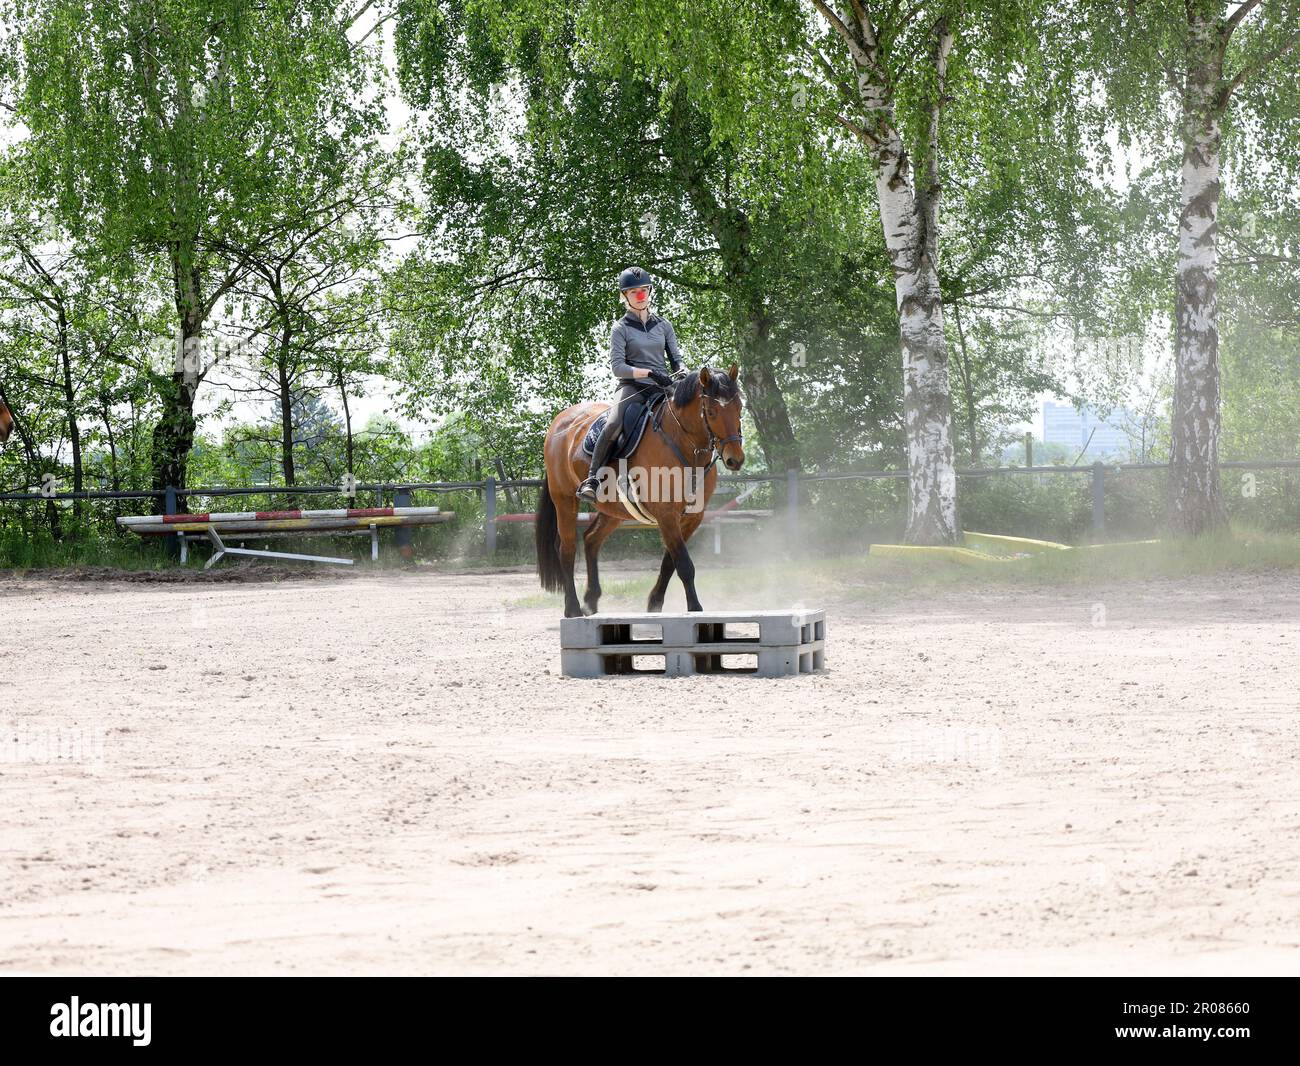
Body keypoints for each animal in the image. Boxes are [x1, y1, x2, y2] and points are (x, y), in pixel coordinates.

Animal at [536, 363, 745, 617]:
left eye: (739, 407)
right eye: (712, 412)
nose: (735, 459)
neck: (682, 443)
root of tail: (560, 422)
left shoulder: (692, 517)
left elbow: (670, 563)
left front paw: (654, 604)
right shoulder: (666, 514)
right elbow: (684, 564)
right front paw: (695, 608)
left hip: (615, 510)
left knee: (591, 539)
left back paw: (591, 600)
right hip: (565, 500)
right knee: (566, 548)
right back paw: (572, 608)